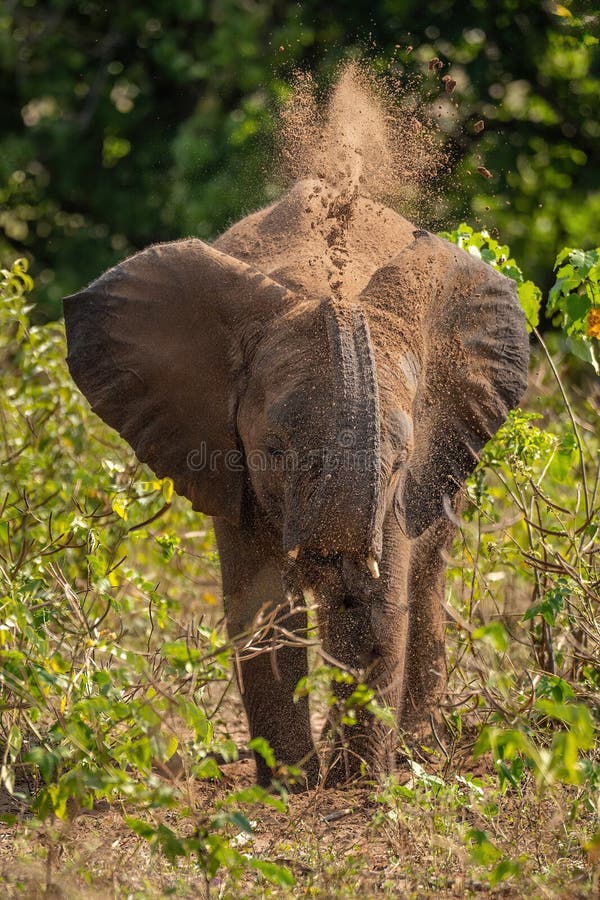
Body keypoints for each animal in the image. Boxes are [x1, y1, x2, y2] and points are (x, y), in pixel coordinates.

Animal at [63, 177, 529, 789]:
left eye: (401, 461)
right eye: (275, 451)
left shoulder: (404, 490)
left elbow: (378, 607)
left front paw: (359, 785)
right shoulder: (232, 468)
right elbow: (265, 608)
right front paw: (291, 787)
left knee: (425, 582)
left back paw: (412, 749)